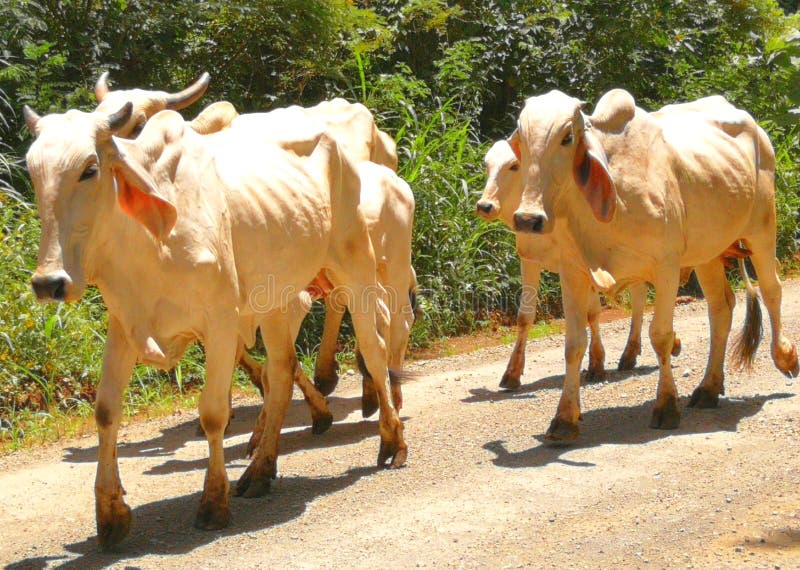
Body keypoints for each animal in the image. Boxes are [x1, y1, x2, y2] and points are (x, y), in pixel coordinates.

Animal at [23, 102, 406, 546]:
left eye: (89, 168)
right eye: (32, 171)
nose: (49, 282)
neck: (149, 242)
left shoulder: (221, 322)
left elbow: (213, 413)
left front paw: (212, 502)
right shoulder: (123, 324)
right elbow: (105, 411)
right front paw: (111, 512)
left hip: (355, 264)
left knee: (375, 350)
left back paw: (391, 439)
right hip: (278, 300)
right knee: (281, 371)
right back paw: (261, 470)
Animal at [509, 89, 798, 441]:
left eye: (567, 137)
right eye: (522, 138)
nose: (528, 219)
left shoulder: (666, 267)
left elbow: (660, 336)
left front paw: (666, 406)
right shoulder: (573, 271)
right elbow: (574, 345)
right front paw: (564, 419)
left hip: (762, 227)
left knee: (771, 289)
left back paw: (784, 357)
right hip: (707, 254)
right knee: (721, 308)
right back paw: (708, 388)